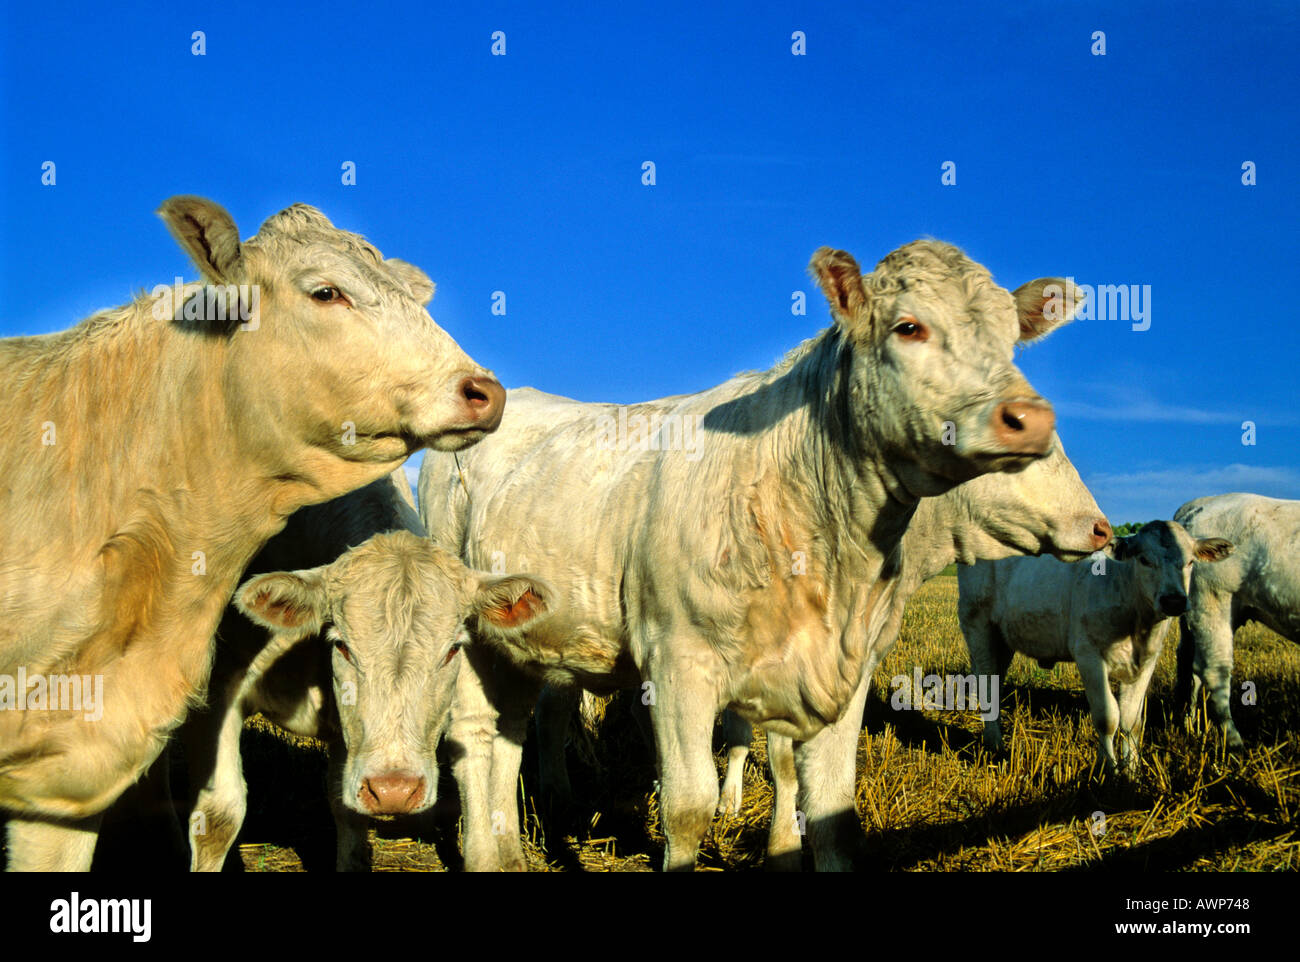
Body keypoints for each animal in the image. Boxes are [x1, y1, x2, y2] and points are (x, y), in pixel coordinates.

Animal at [183, 471, 553, 871]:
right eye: (343, 645)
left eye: (453, 649)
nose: (394, 791)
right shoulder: (218, 690)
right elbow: (218, 817)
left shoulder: (346, 732)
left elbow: (348, 815)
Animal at [422, 240, 1079, 871]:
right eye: (908, 326)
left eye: (1010, 338)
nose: (1030, 419)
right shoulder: (677, 662)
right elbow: (688, 808)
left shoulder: (845, 671)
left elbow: (830, 811)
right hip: (469, 623)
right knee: (475, 737)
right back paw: (484, 855)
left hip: (520, 637)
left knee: (511, 732)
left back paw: (514, 847)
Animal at [957, 521, 1233, 776]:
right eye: (1144, 559)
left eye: (1190, 562)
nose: (1174, 600)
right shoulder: (1089, 655)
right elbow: (1107, 717)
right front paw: (1108, 768)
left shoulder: (1147, 660)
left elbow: (1132, 720)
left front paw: (1132, 770)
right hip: (977, 624)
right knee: (986, 683)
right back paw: (994, 743)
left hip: (1002, 640)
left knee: (995, 681)